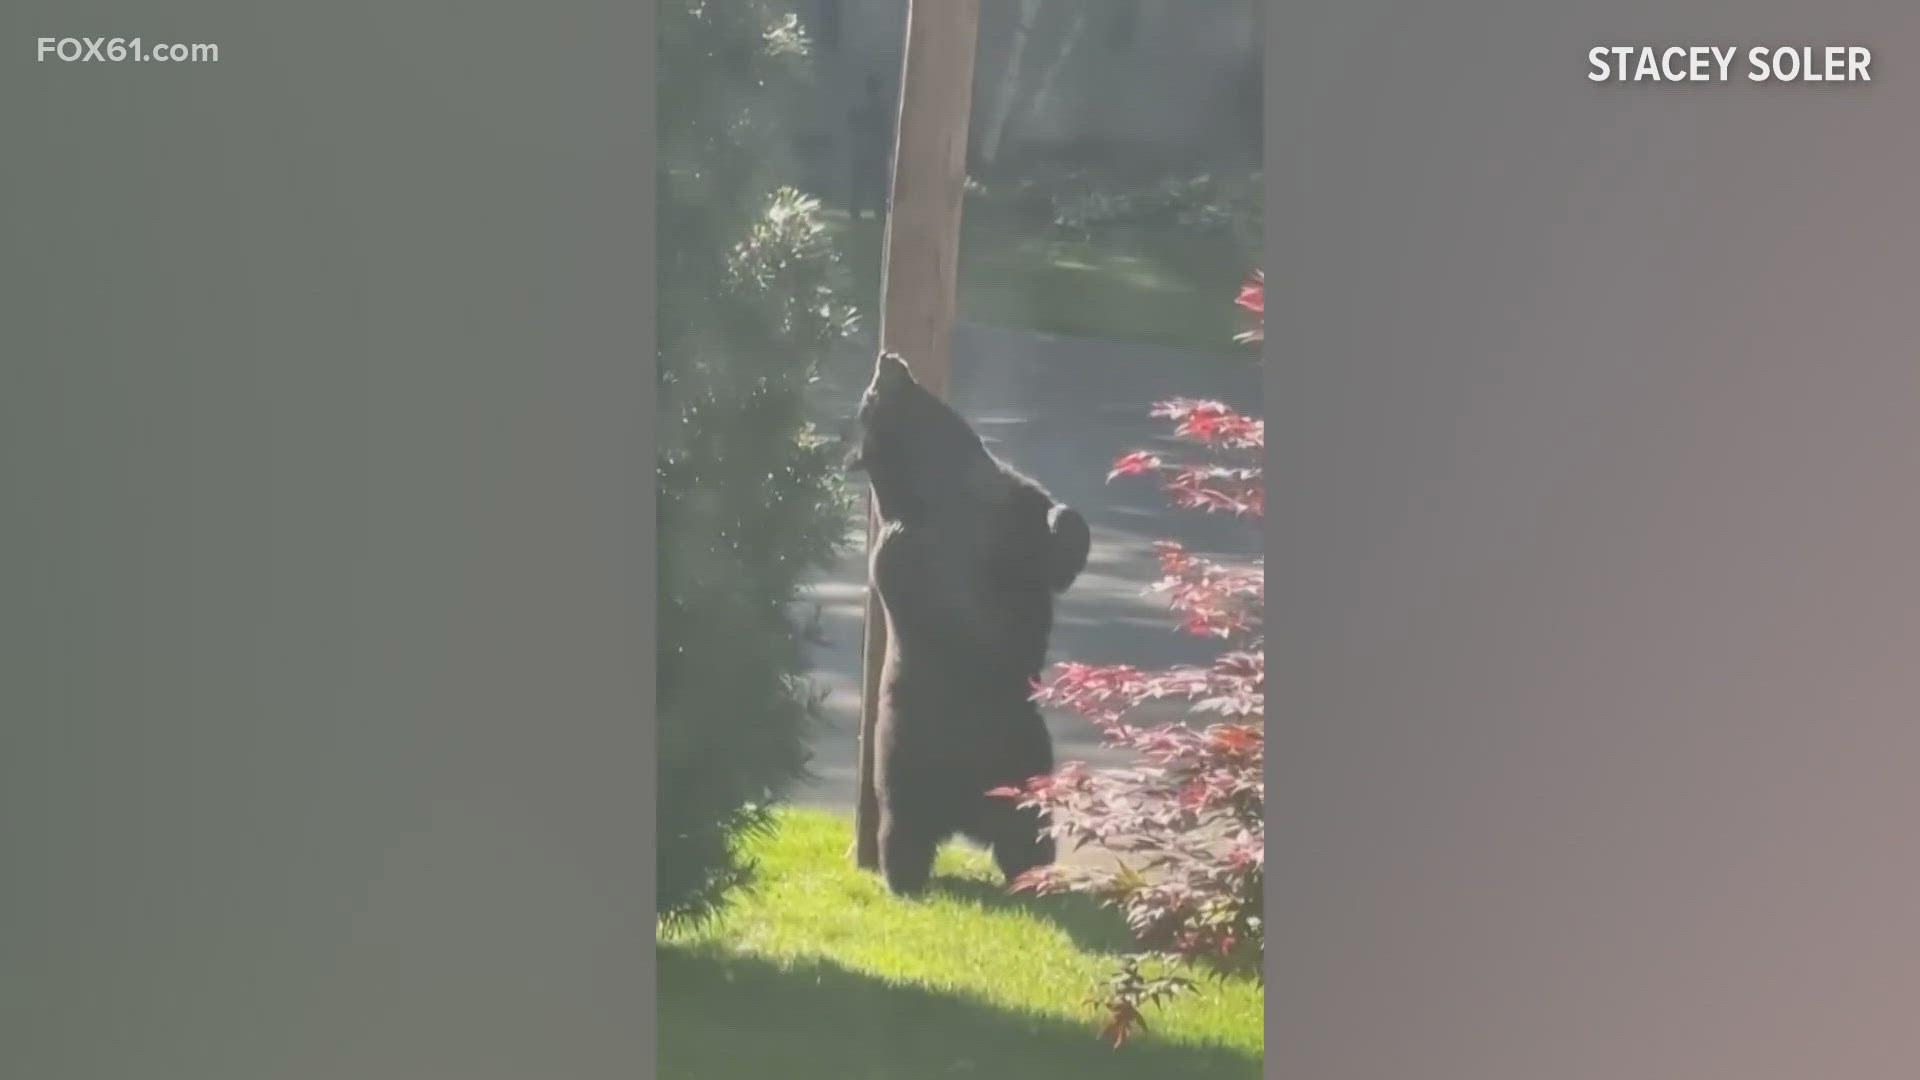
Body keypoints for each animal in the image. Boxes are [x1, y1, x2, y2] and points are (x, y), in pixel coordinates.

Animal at [845, 351, 1091, 896]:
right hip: (903, 761)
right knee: (905, 830)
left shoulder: (1009, 506)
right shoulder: (909, 541)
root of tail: (963, 813)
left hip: (1025, 759)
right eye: (868, 399)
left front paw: (1066, 520)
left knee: (1028, 830)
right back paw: (905, 880)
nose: (887, 358)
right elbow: (907, 579)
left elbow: (1052, 543)